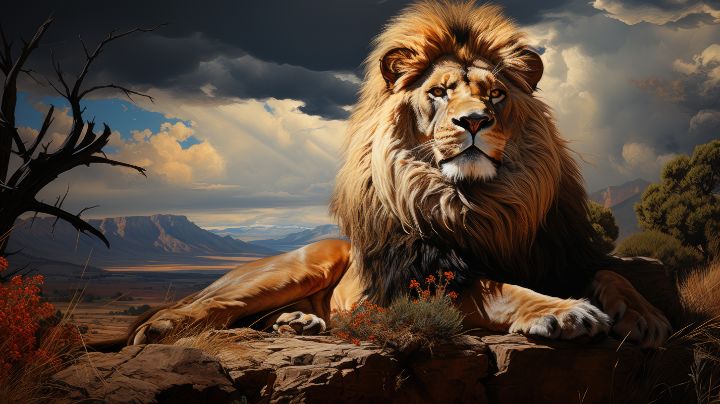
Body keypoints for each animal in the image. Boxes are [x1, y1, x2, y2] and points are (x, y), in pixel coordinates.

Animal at [124, 1, 712, 349]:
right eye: (439, 92)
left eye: (496, 95)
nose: (474, 121)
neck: (482, 204)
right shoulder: (422, 281)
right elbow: (504, 287)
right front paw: (565, 311)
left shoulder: (561, 254)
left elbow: (611, 274)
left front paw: (646, 316)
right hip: (297, 267)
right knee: (214, 307)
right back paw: (162, 326)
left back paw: (302, 323)